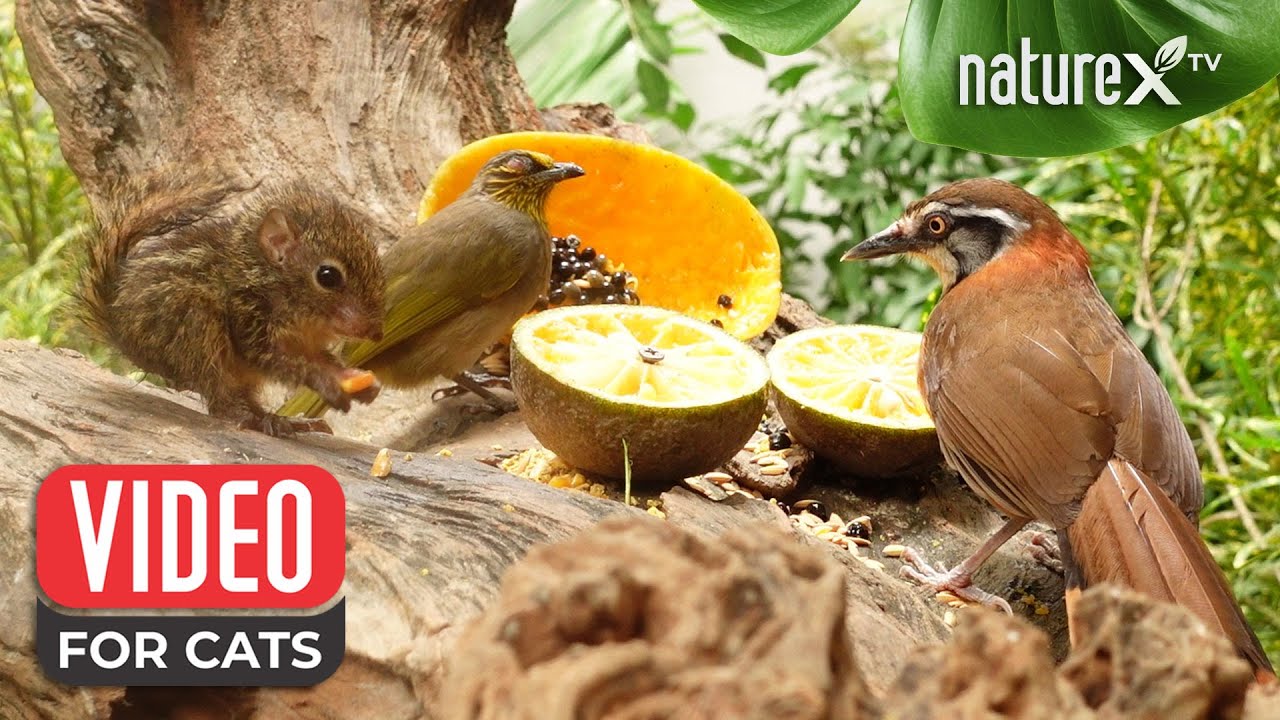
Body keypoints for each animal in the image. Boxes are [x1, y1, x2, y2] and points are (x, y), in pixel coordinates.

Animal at [75, 171, 386, 436]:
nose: (375, 332)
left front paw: (357, 381)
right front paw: (327, 383)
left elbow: (320, 359)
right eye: (327, 276)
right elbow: (281, 362)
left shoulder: (305, 342)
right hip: (195, 326)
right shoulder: (248, 317)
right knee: (219, 400)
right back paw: (258, 419)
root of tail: (122, 331)